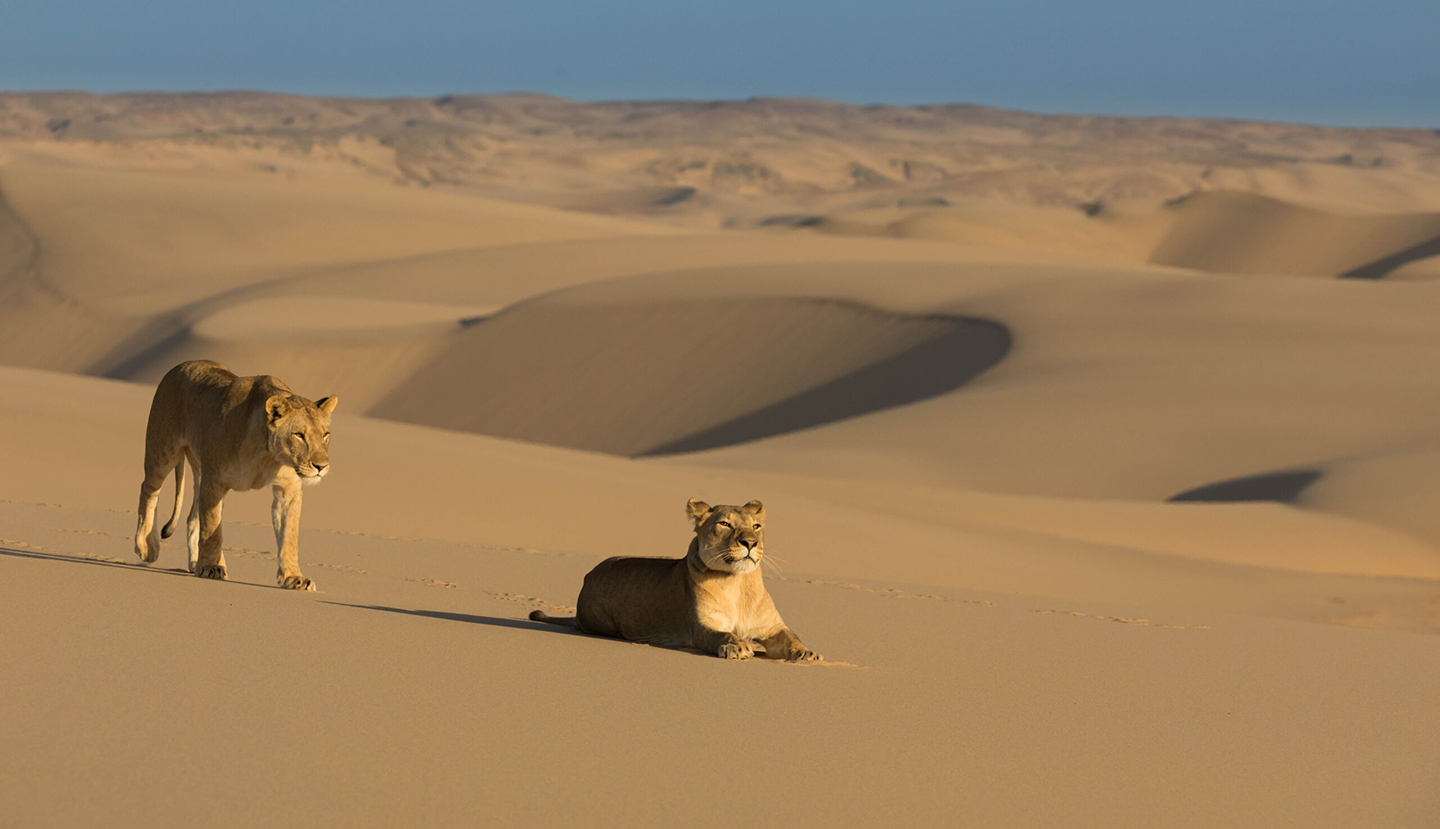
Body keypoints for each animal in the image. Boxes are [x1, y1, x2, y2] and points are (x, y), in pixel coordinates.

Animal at [133, 360, 337, 590]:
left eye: (325, 435)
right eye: (299, 435)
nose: (321, 466)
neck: (266, 454)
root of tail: (181, 365)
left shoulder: (288, 489)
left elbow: (289, 536)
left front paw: (294, 578)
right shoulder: (214, 481)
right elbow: (212, 530)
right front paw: (211, 567)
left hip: (199, 472)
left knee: (193, 517)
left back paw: (195, 562)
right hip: (163, 451)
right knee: (149, 490)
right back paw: (147, 547)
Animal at [531, 499, 822, 661]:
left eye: (756, 526)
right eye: (725, 524)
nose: (750, 542)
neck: (736, 583)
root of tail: (588, 576)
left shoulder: (772, 628)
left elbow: (792, 637)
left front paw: (808, 653)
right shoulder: (704, 628)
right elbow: (723, 634)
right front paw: (737, 646)